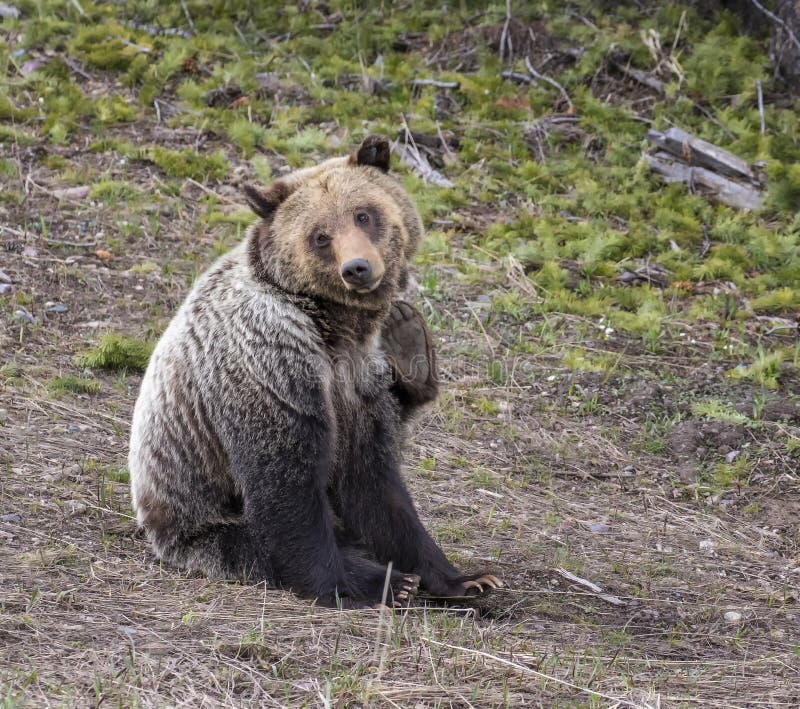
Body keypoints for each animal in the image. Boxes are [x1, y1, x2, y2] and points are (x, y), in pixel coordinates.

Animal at [128, 136, 501, 608]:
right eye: (320, 236)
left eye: (364, 214)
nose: (357, 268)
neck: (333, 326)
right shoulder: (270, 361)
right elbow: (288, 483)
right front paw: (363, 582)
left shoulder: (358, 379)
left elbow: (375, 482)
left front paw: (463, 578)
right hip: (197, 518)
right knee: (247, 543)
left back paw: (410, 340)